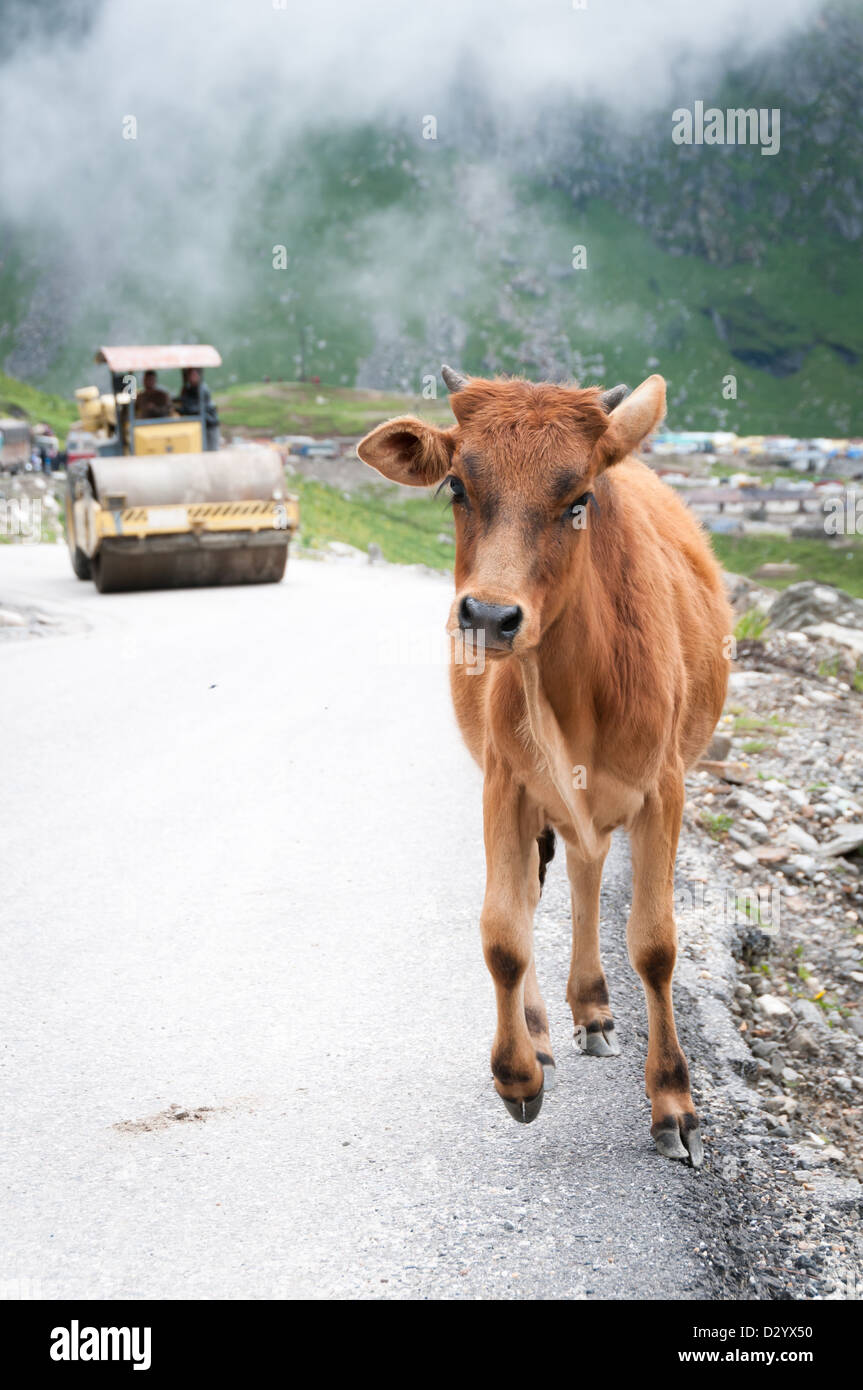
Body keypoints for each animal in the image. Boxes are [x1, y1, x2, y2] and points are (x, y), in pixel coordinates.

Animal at [357, 368, 731, 1166]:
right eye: (458, 486)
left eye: (579, 498)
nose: (489, 616)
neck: (573, 693)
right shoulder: (505, 783)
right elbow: (504, 932)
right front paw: (518, 1073)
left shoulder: (664, 790)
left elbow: (654, 944)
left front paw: (673, 1101)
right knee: (539, 894)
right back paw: (543, 1030)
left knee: (588, 878)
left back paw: (592, 1007)